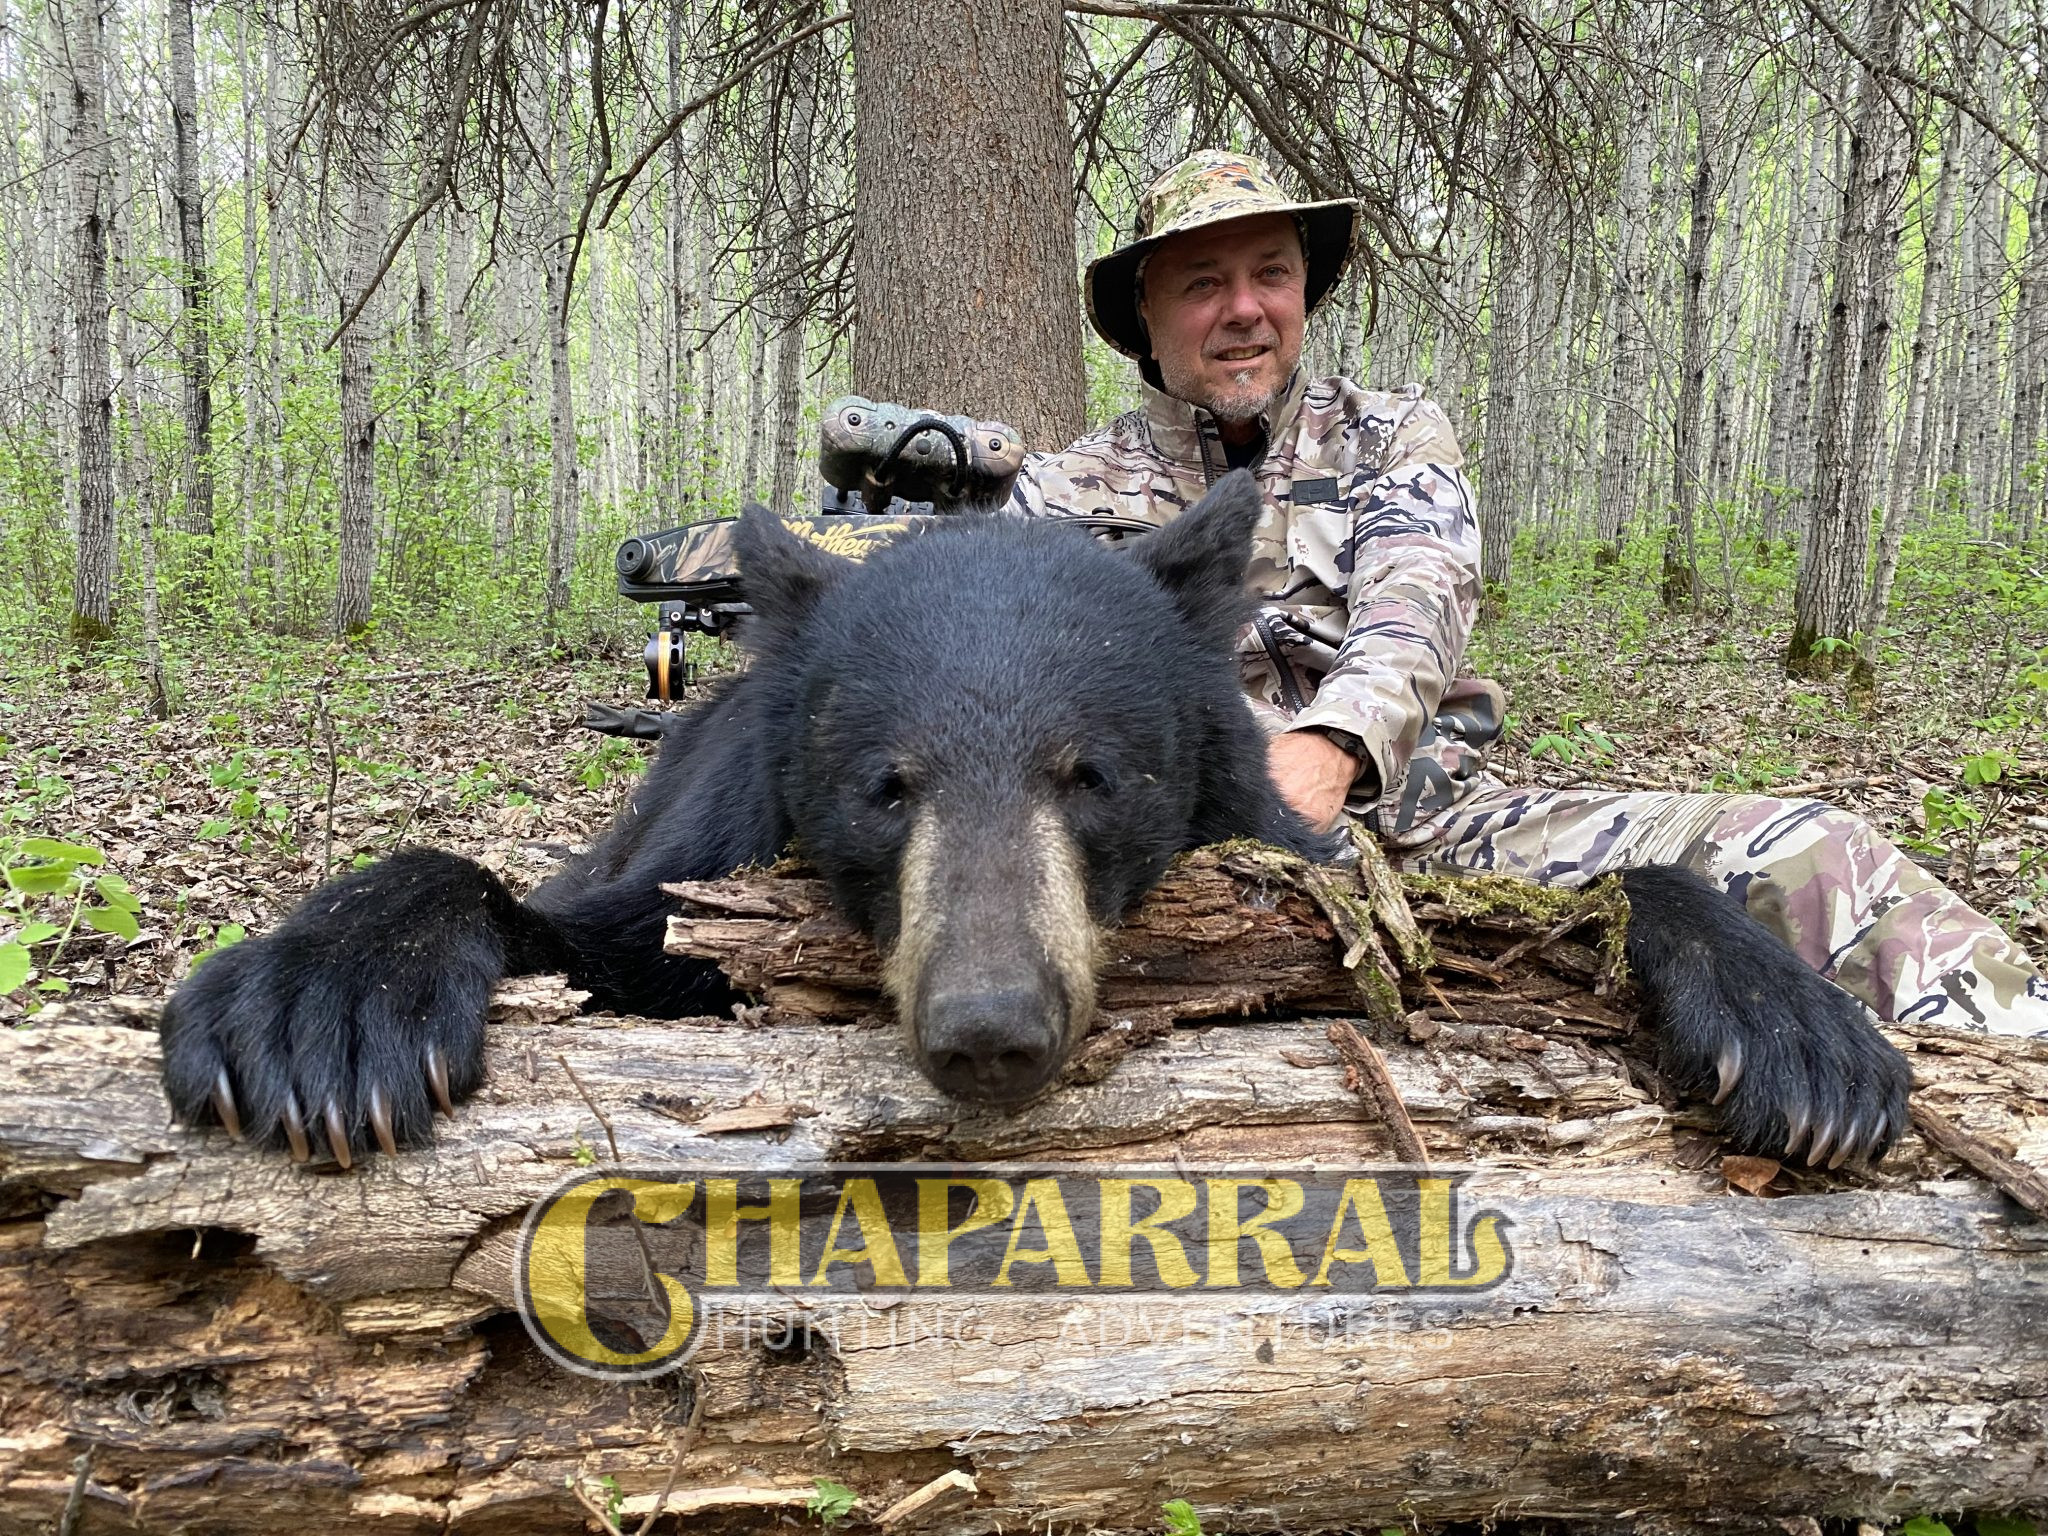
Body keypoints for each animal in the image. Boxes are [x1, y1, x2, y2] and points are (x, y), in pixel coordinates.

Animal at [159, 470, 1910, 1169]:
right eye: (887, 786)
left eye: (1094, 774)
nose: (991, 1025)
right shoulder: (688, 877)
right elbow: (565, 919)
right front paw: (318, 1004)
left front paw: (1805, 1039)